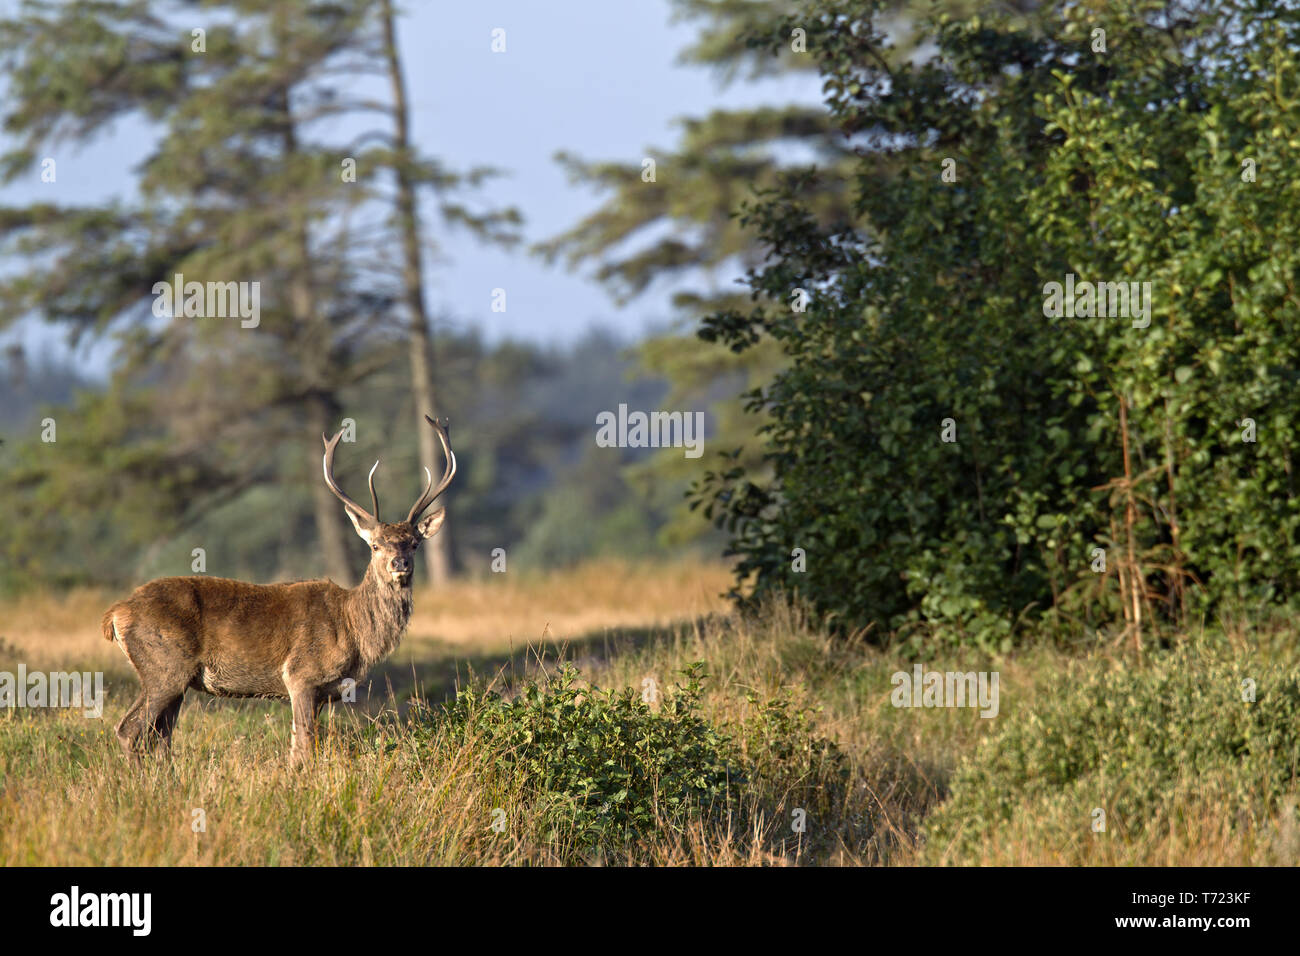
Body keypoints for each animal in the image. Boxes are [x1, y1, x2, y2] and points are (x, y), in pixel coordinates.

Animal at [101, 415, 456, 766]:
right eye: (375, 545)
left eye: (414, 543)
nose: (399, 563)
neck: (353, 630)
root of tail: (116, 613)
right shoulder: (301, 675)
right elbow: (304, 747)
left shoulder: (321, 692)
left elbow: (302, 745)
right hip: (164, 666)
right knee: (129, 729)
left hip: (176, 679)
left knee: (160, 737)